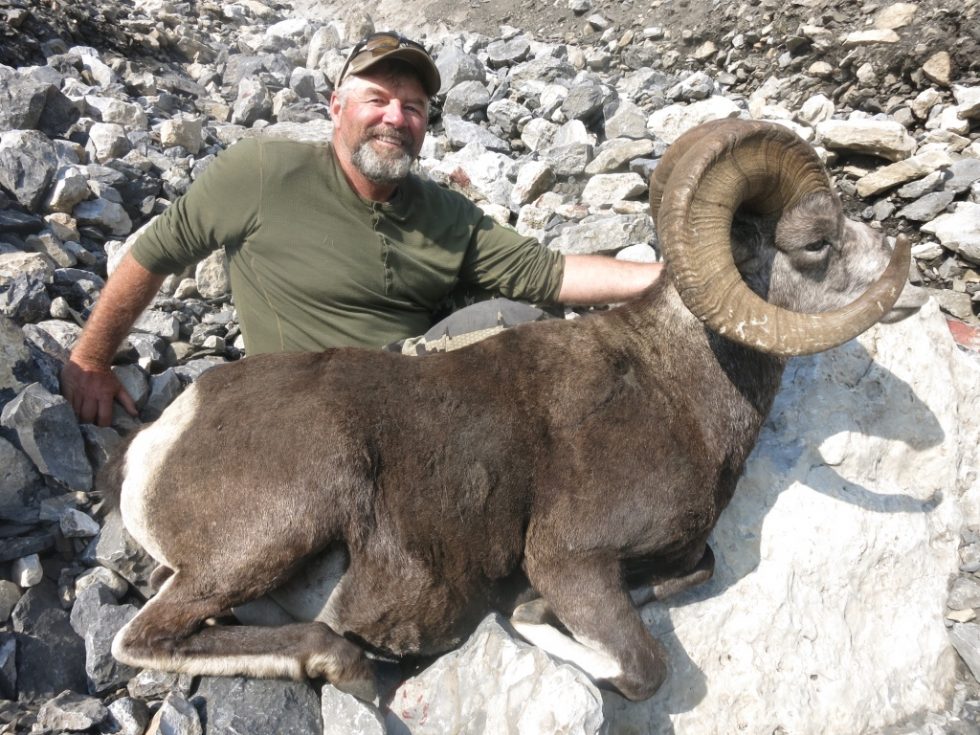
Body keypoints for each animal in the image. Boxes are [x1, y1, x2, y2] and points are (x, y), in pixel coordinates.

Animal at [104, 119, 924, 703]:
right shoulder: (570, 557)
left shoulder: (673, 557)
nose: (904, 269)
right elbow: (637, 668)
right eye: (817, 241)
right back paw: (345, 661)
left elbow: (692, 573)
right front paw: (525, 614)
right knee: (144, 638)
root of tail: (158, 441)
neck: (678, 388)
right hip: (280, 526)